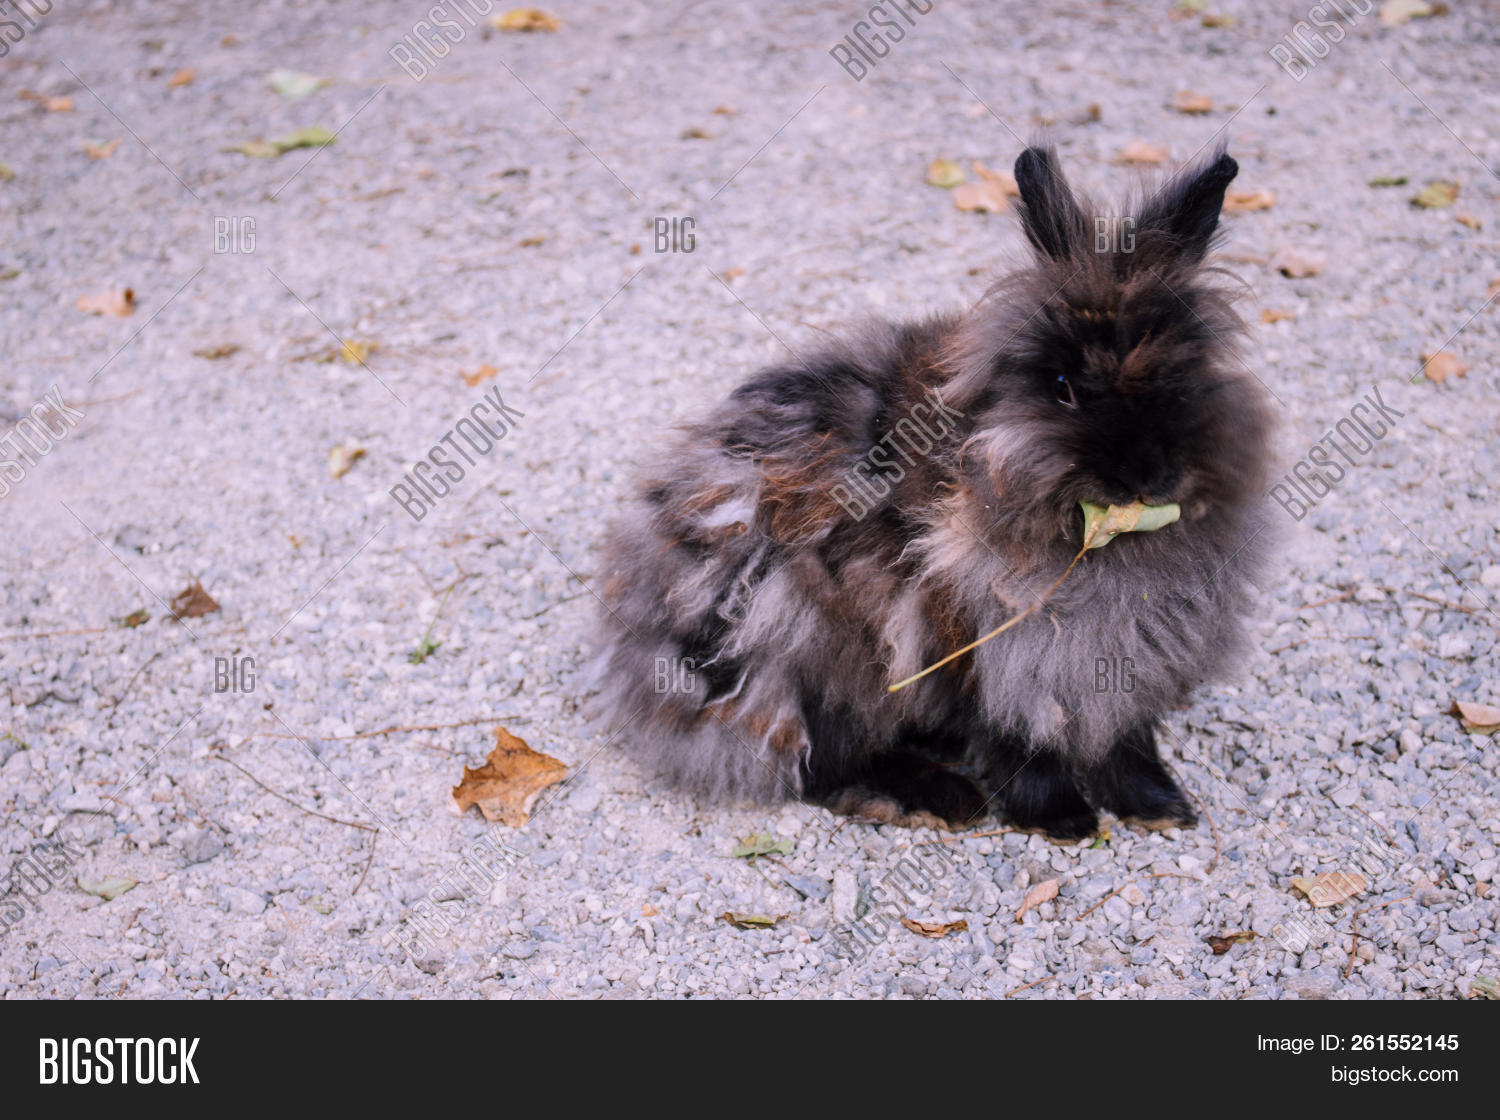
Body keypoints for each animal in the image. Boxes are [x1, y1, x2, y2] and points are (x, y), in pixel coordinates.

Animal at [591, 144, 1275, 841]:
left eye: (1183, 372)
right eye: (1062, 386)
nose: (1148, 475)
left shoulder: (1133, 654)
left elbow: (1126, 737)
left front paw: (1157, 807)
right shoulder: (977, 639)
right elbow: (1013, 732)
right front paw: (1061, 818)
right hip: (802, 636)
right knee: (817, 760)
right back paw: (933, 797)